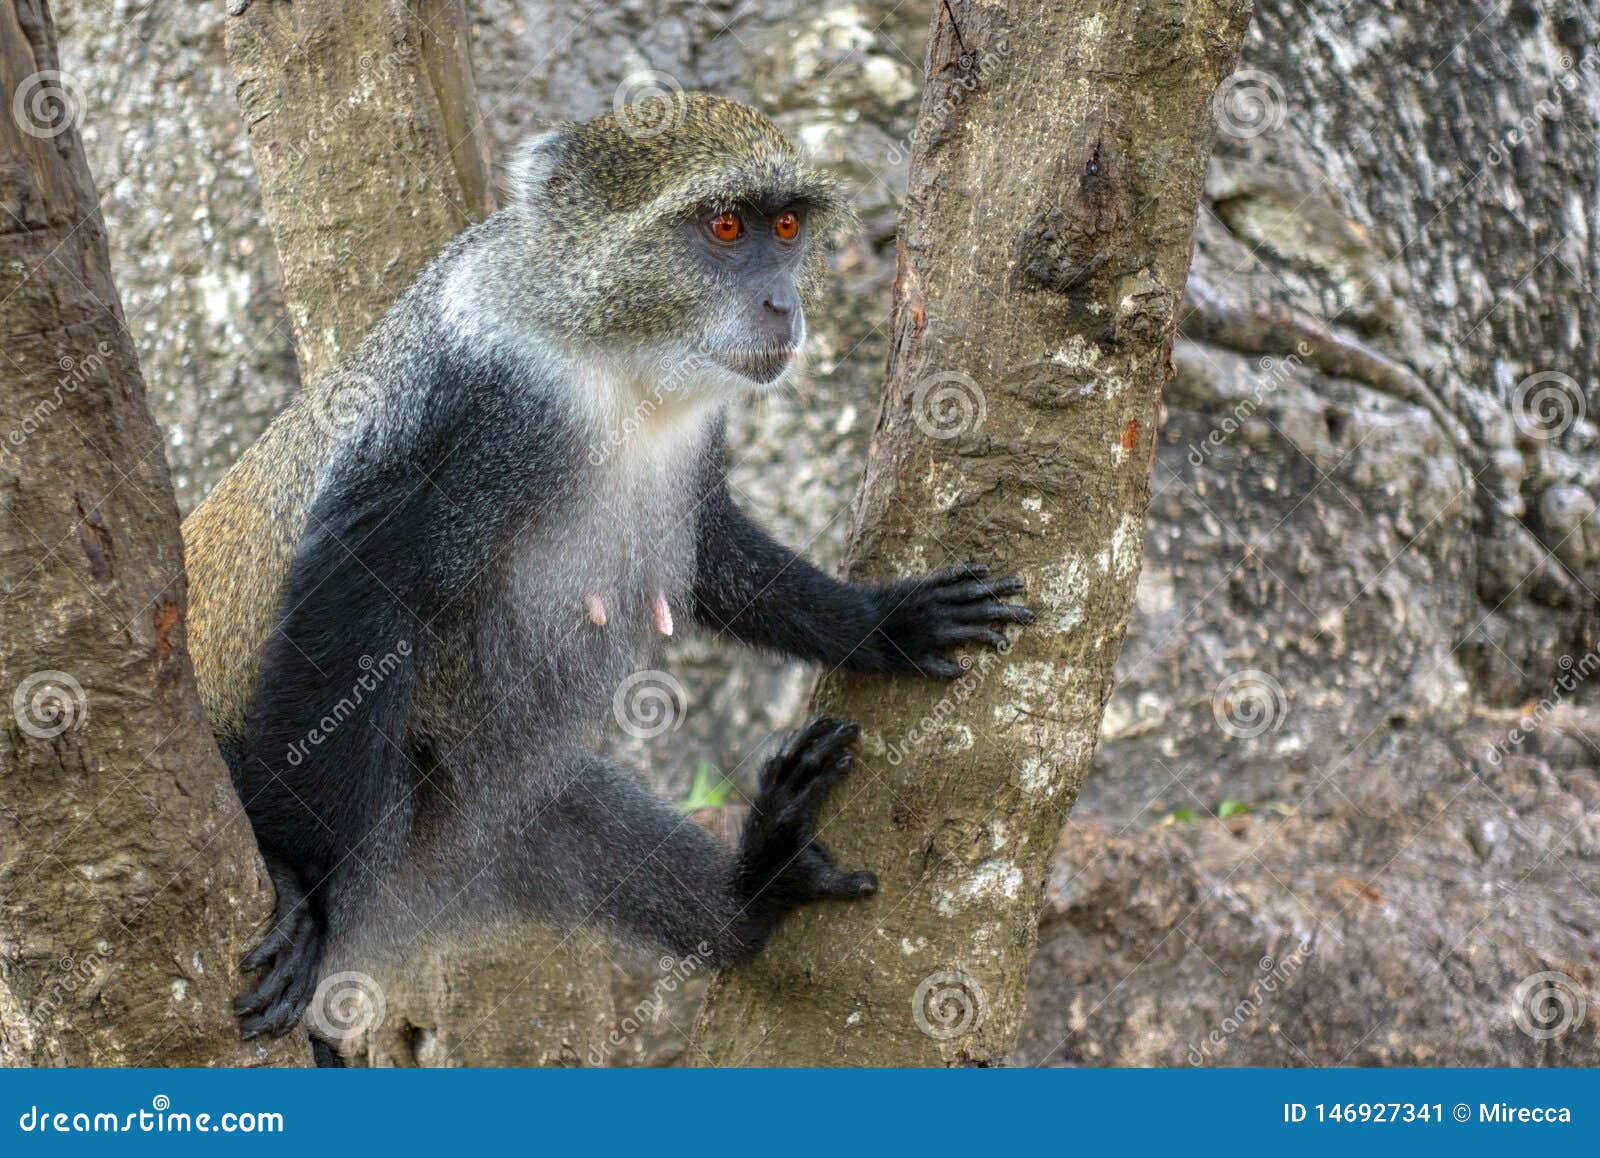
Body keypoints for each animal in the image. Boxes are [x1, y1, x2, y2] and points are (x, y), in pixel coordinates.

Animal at [180, 93, 1032, 1051]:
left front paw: (883, 624)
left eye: (785, 227)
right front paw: (300, 890)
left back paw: (754, 888)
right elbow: (358, 601)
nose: (782, 302)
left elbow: (710, 550)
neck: (614, 351)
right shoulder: (469, 406)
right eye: (725, 226)